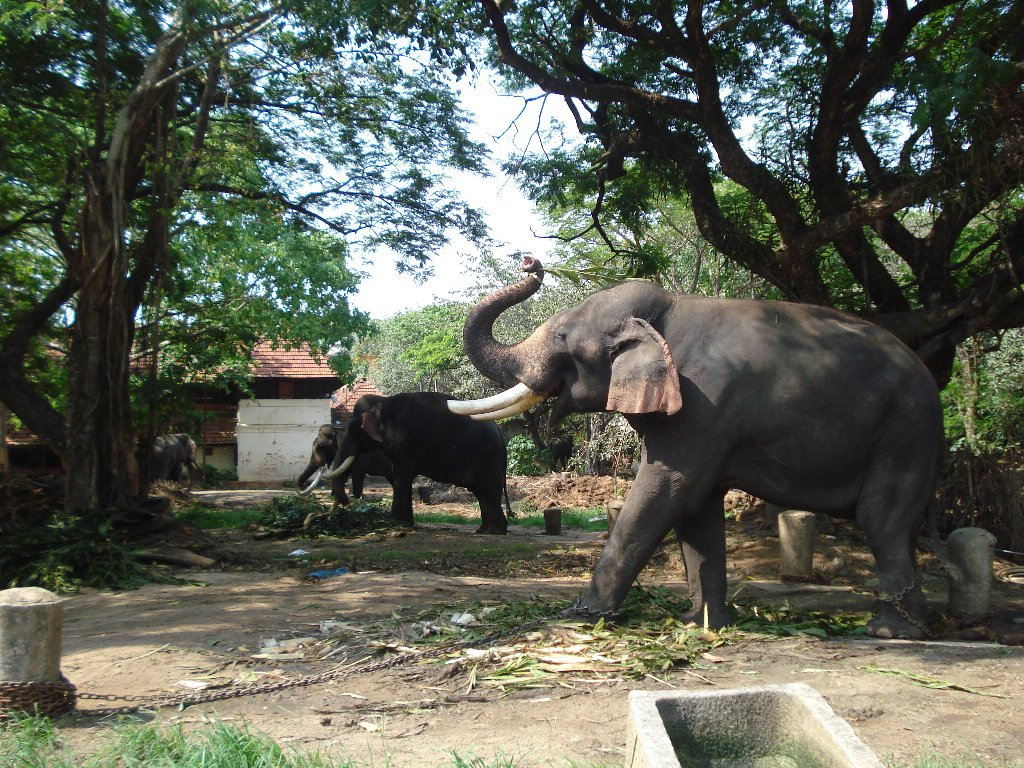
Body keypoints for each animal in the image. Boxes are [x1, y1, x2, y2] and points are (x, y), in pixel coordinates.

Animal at [318, 392, 513, 534]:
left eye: (353, 428)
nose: (344, 502)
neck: (385, 402)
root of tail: (500, 433)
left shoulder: (408, 442)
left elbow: (401, 476)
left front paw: (397, 523)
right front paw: (404, 523)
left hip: (487, 459)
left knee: (487, 491)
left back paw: (493, 531)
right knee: (482, 493)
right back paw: (483, 530)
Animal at [450, 257, 943, 639]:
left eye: (563, 338)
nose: (530, 263)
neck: (666, 312)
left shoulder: (702, 407)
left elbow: (666, 493)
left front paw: (583, 617)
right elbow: (697, 508)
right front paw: (702, 624)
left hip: (906, 430)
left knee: (882, 519)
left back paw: (891, 633)